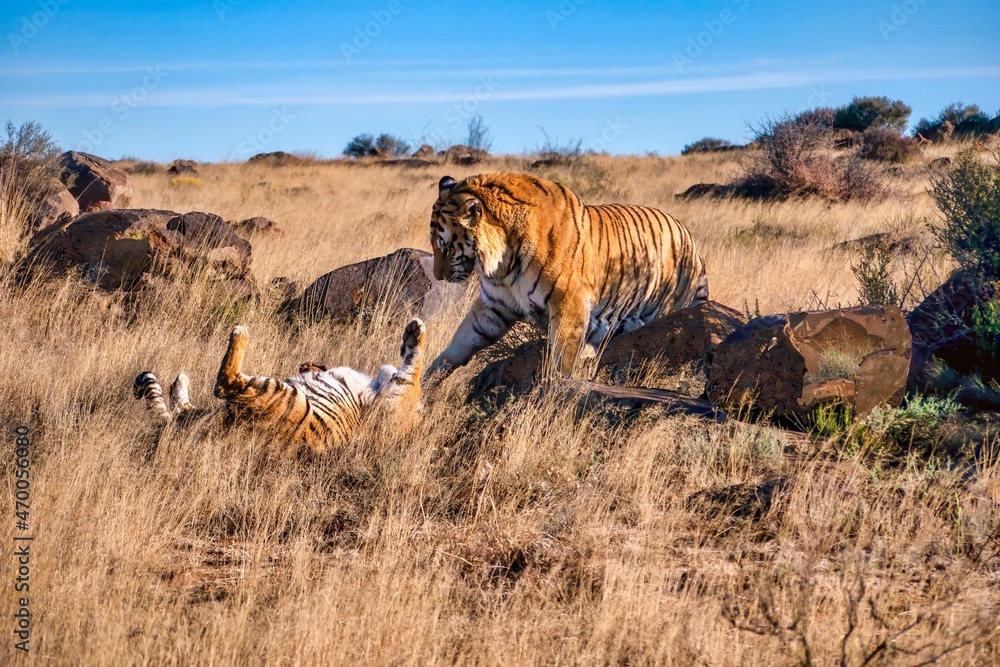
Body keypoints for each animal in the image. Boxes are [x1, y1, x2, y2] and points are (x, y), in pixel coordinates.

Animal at [133, 318, 426, 455]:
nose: (307, 364)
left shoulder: (396, 409)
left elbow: (413, 373)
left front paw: (415, 334)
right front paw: (412, 332)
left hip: (285, 396)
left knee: (224, 383)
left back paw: (240, 332)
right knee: (184, 406)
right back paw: (179, 381)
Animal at [427, 171, 708, 378]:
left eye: (446, 246)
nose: (438, 276)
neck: (503, 264)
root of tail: (692, 242)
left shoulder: (569, 304)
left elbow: (562, 357)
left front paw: (555, 392)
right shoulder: (494, 305)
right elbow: (461, 341)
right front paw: (428, 379)